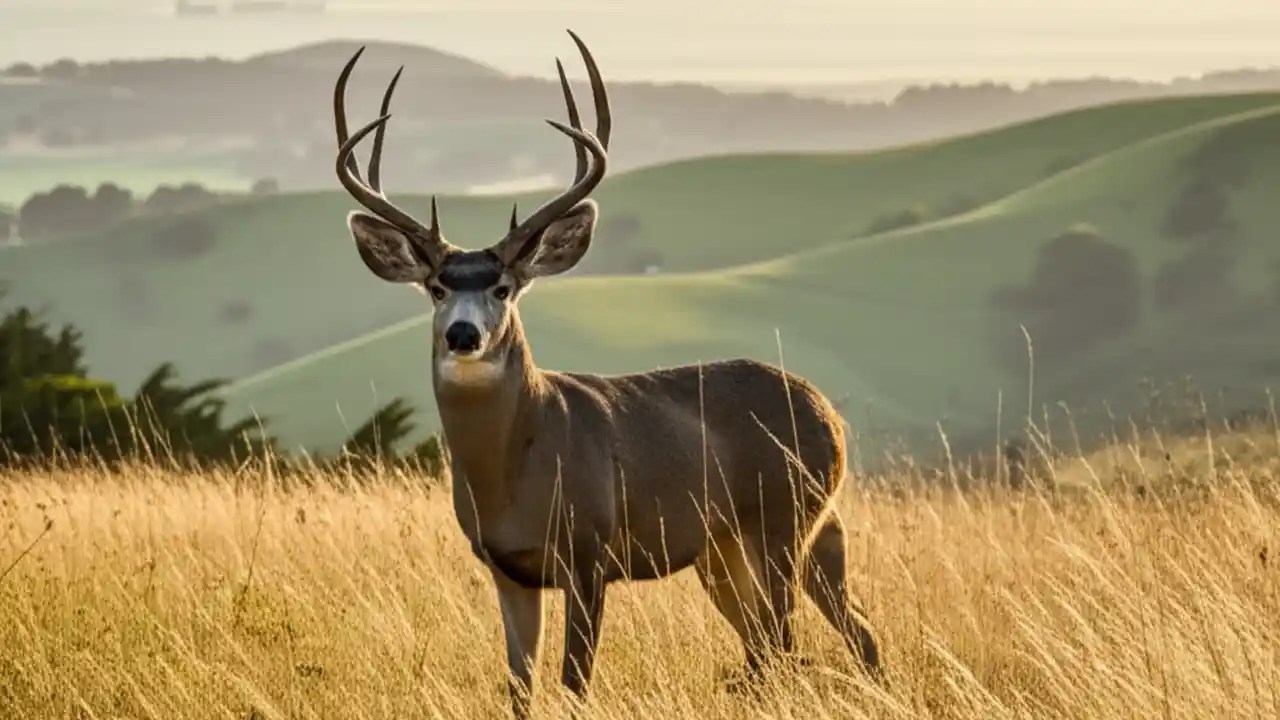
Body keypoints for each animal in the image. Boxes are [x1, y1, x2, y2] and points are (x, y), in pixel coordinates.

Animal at [331, 30, 883, 718]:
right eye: (436, 288)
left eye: (505, 287)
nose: (463, 334)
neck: (517, 471)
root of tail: (828, 413)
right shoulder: (506, 568)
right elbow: (519, 688)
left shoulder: (591, 551)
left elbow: (574, 684)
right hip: (751, 544)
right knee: (830, 635)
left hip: (782, 518)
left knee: (787, 642)